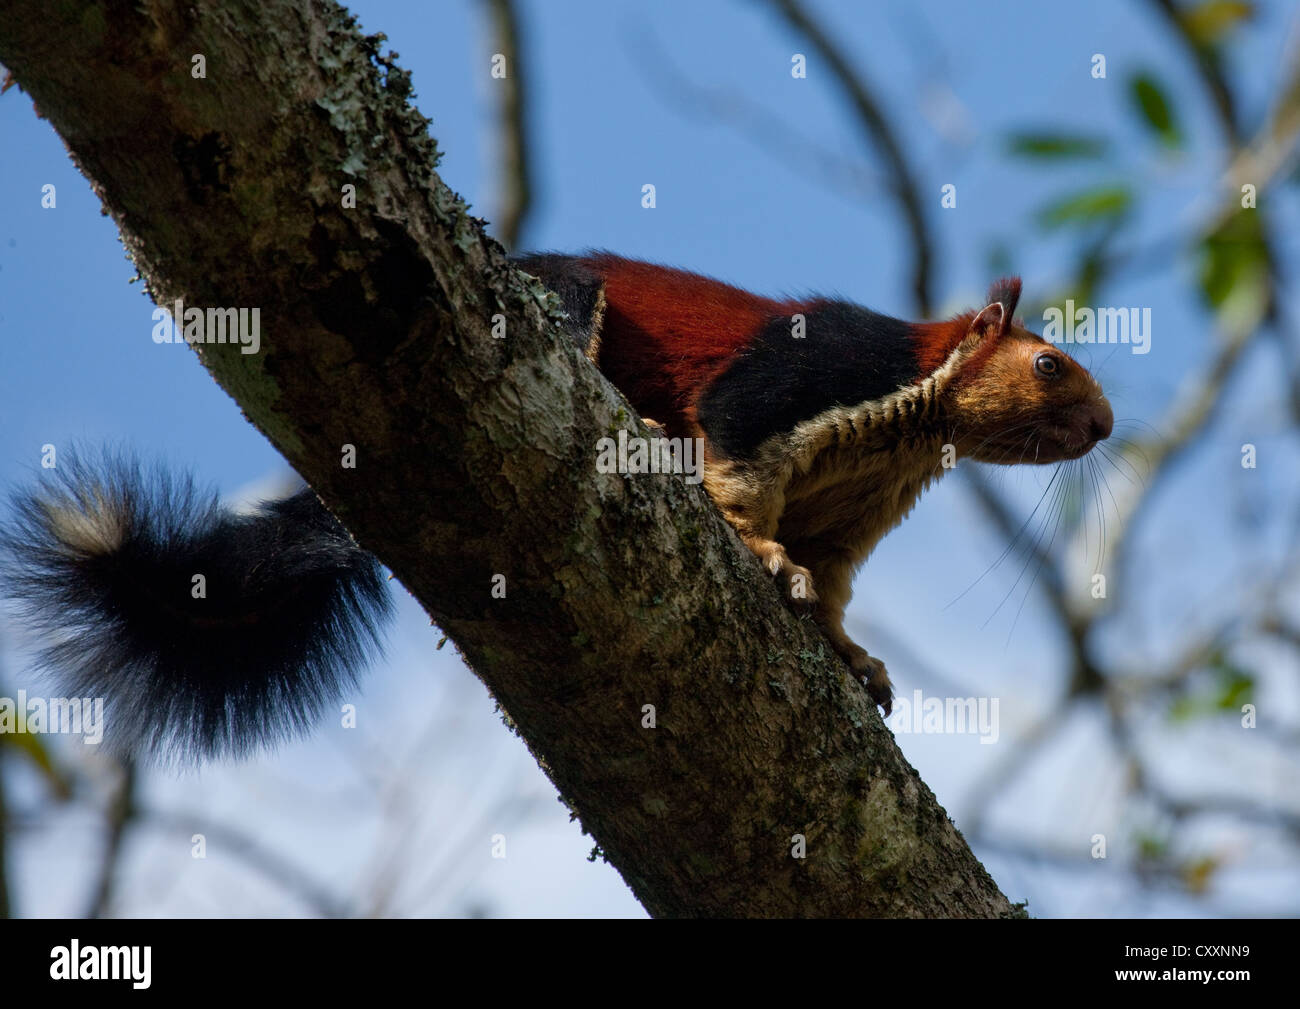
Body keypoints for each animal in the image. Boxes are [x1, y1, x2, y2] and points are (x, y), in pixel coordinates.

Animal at [0, 252, 1111, 759]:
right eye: (1049, 365)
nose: (1104, 424)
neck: (912, 421)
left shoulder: (851, 516)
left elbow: (833, 589)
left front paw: (853, 656)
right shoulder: (800, 384)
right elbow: (739, 471)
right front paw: (760, 555)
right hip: (563, 306)